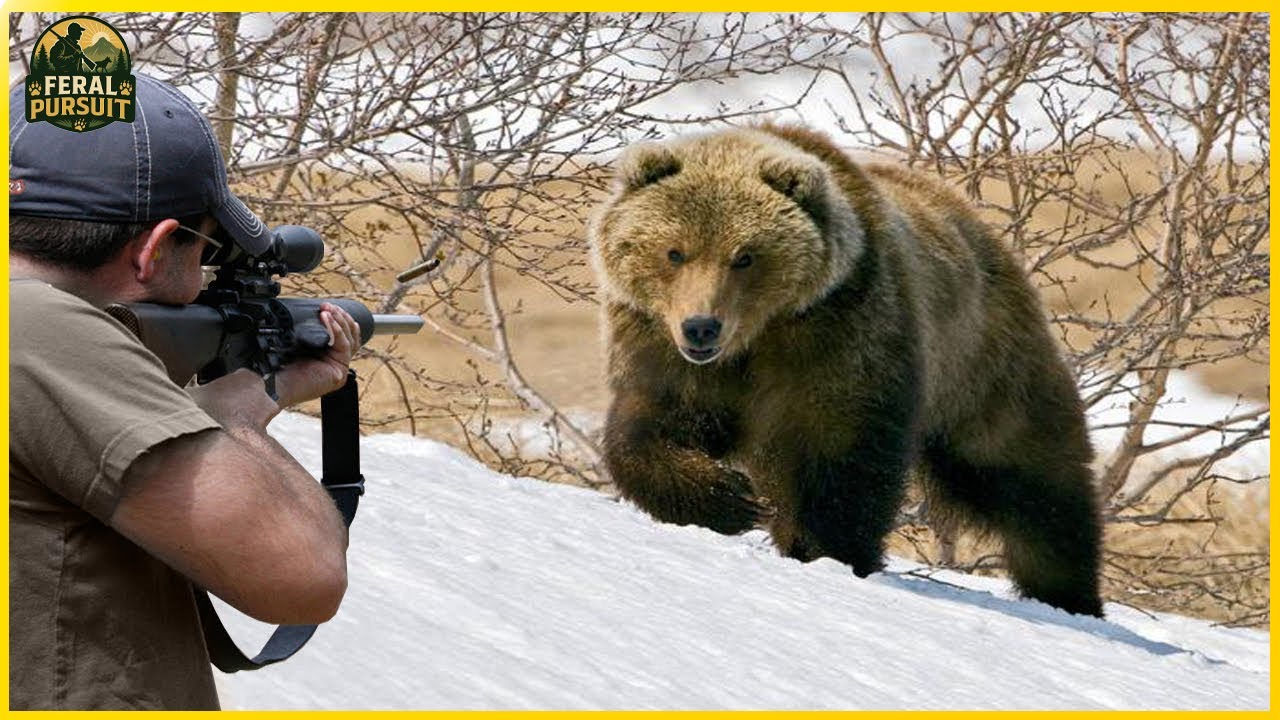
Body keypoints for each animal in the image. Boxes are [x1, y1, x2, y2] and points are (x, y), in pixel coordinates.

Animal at [588, 123, 1104, 617]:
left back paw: (1069, 593)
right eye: (675, 251)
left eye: (745, 256)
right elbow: (648, 429)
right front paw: (729, 497)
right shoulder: (665, 351)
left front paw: (824, 548)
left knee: (1030, 477)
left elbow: (840, 455)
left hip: (980, 361)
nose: (701, 327)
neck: (756, 337)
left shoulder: (840, 334)